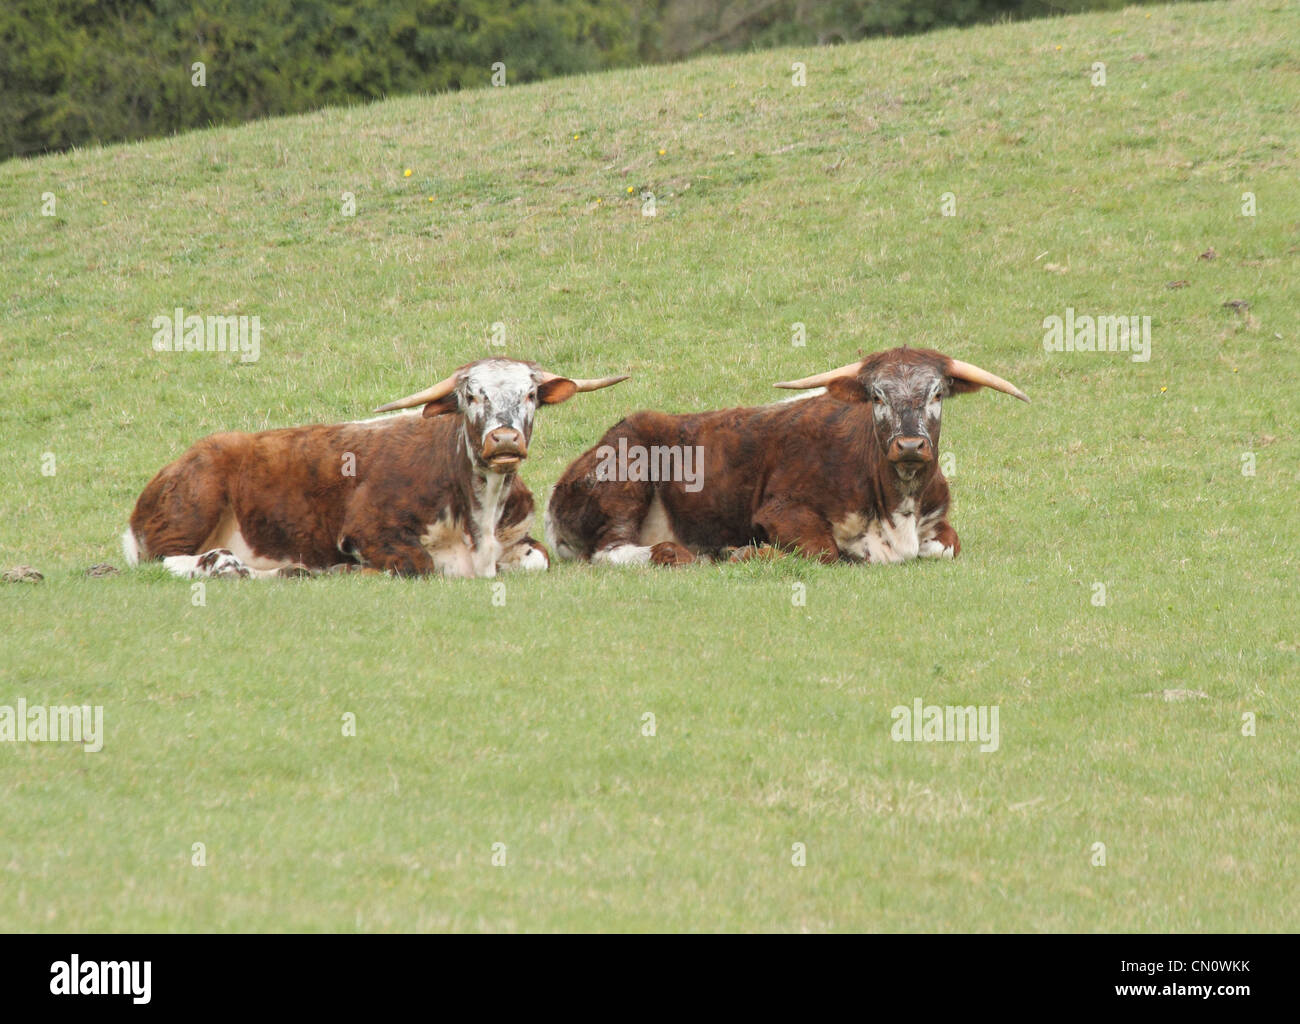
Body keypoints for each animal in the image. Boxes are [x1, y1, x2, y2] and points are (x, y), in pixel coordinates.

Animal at [123, 358, 628, 578]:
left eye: (530, 394)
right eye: (470, 395)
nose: (504, 439)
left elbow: (538, 559)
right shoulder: (367, 533)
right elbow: (420, 564)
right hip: (194, 501)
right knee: (161, 560)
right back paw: (218, 563)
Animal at [544, 347, 1027, 567]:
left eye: (937, 393)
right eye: (876, 395)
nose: (909, 446)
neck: (896, 508)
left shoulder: (938, 525)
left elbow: (947, 546)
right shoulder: (780, 510)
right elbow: (823, 551)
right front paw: (744, 553)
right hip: (628, 475)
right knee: (615, 550)